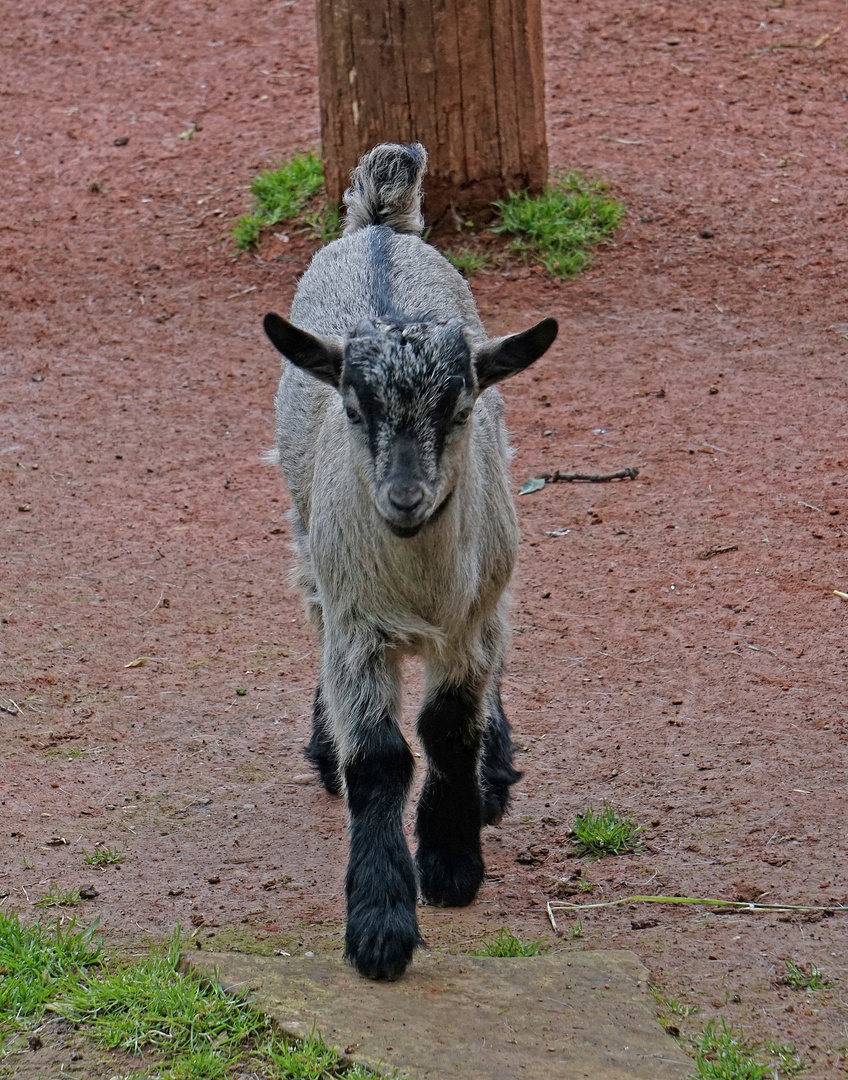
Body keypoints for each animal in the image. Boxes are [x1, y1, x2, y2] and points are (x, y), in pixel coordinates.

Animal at [263, 143, 557, 981]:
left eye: (457, 409)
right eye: (355, 408)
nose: (402, 498)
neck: (418, 586)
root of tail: (378, 227)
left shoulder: (470, 622)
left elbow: (447, 729)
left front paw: (453, 863)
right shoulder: (359, 627)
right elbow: (382, 760)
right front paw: (381, 926)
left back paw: (495, 771)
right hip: (308, 538)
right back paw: (323, 745)